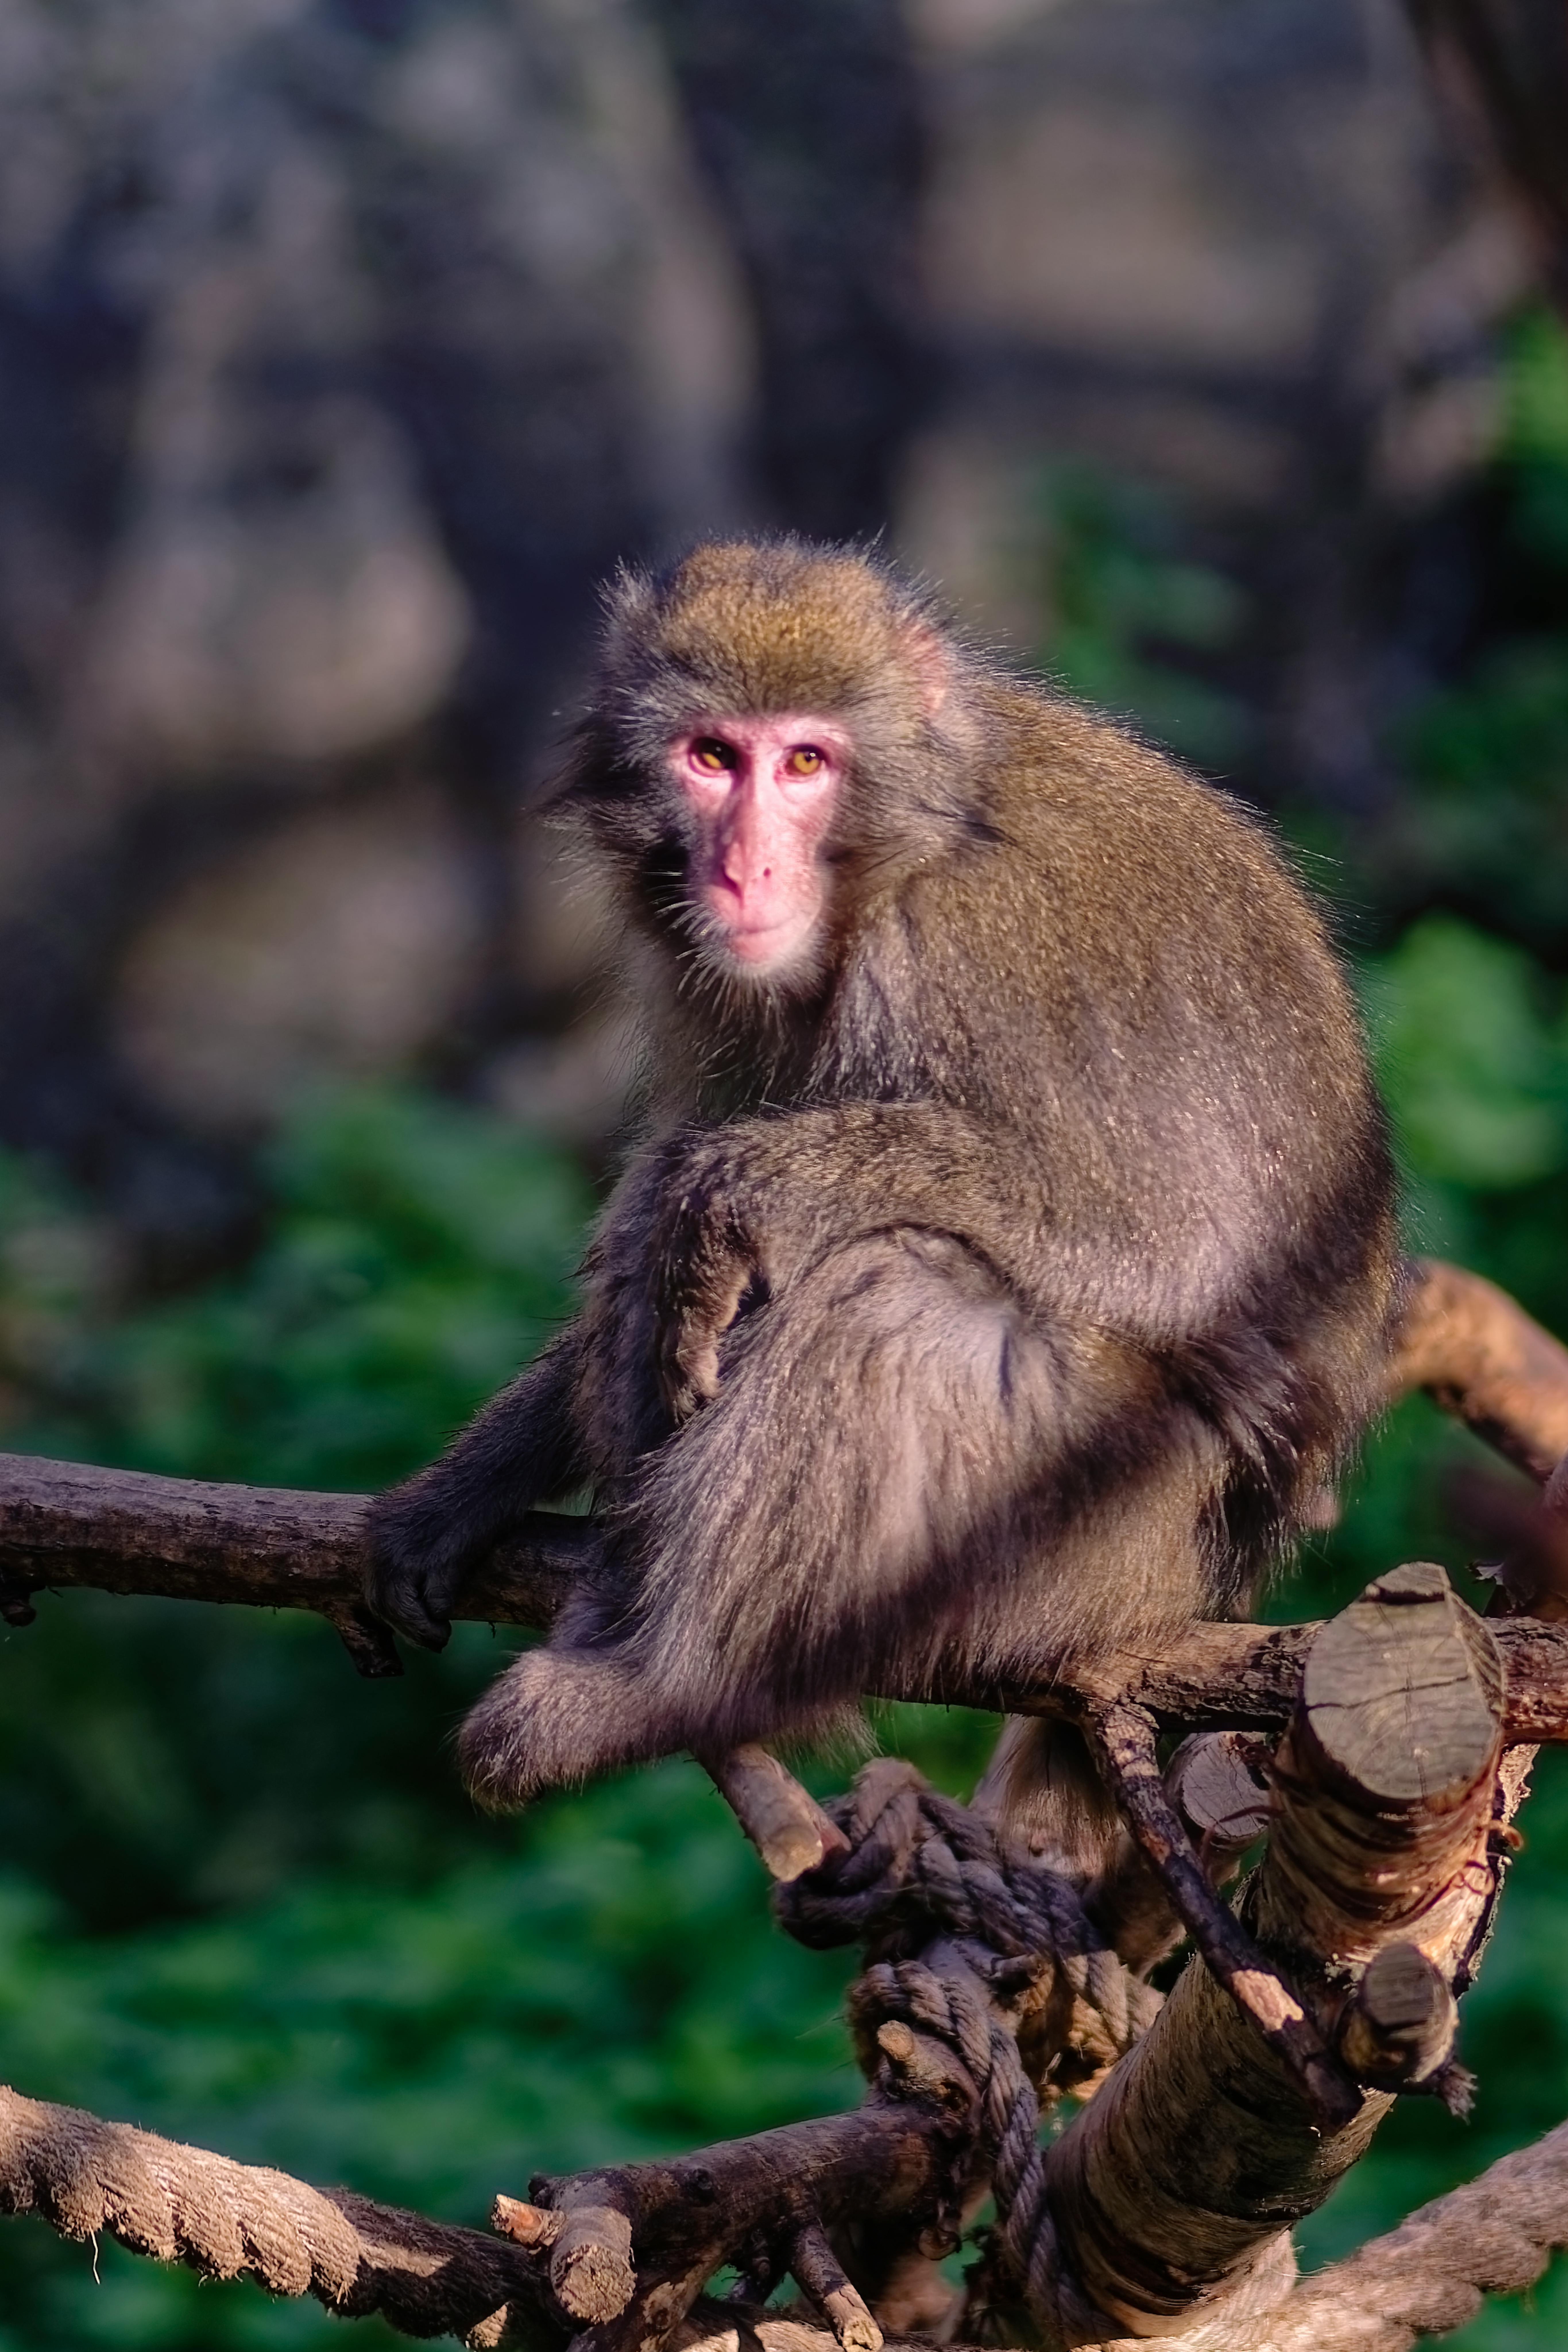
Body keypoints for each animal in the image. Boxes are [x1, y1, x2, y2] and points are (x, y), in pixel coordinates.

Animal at [363, 536, 1402, 1844]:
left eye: (806, 763)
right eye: (714, 756)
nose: (745, 868)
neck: (902, 852)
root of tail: (1191, 1592)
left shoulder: (967, 944)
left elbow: (1168, 1239)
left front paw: (747, 1186)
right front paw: (462, 1491)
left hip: (1088, 1526)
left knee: (886, 1286)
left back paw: (660, 1686)